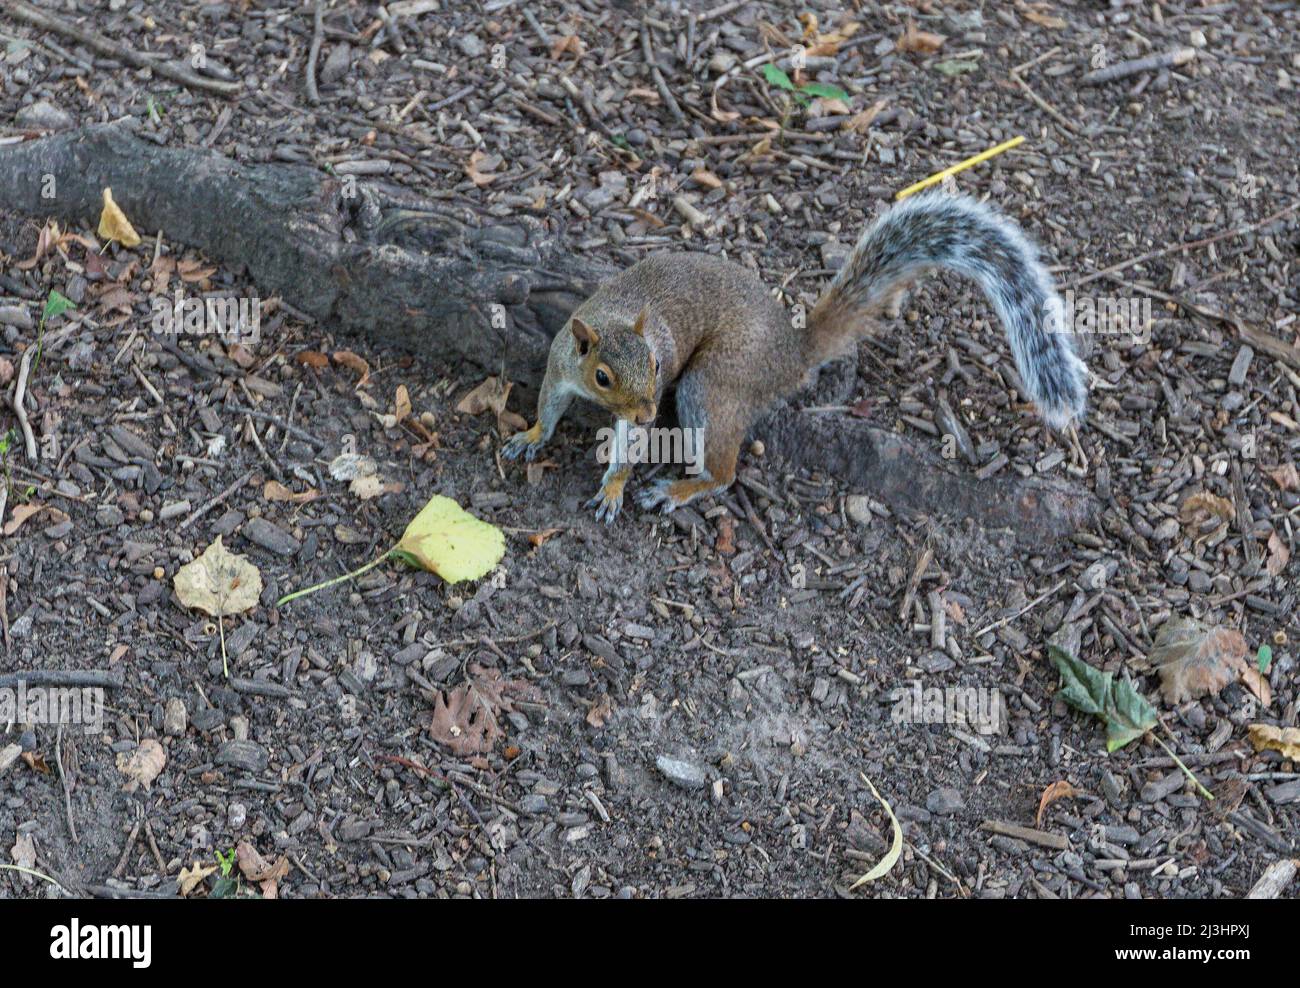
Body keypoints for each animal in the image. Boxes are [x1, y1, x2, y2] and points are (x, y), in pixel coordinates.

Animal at [502, 192, 1088, 523]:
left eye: (656, 365)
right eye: (602, 375)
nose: (648, 412)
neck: (613, 316)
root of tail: (789, 354)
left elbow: (627, 449)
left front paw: (615, 488)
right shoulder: (559, 367)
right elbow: (549, 408)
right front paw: (530, 436)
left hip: (711, 383)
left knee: (725, 471)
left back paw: (678, 488)